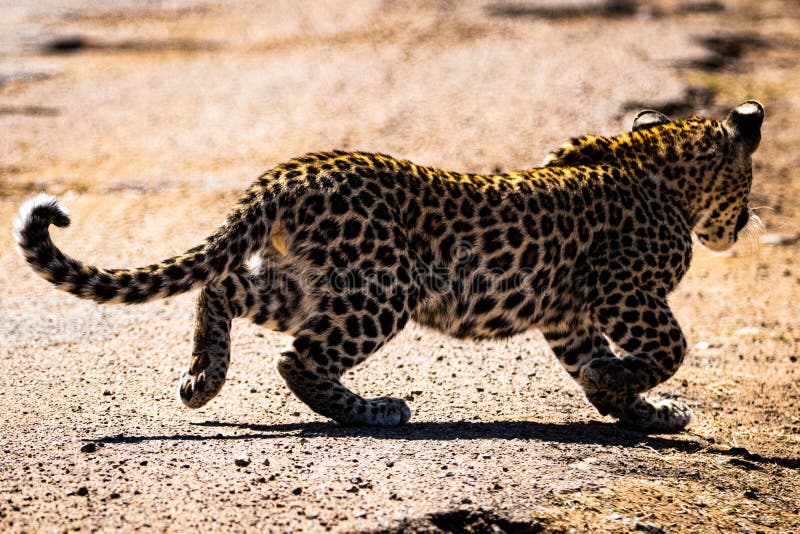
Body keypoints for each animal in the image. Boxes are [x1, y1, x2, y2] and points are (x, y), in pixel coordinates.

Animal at [13, 100, 764, 432]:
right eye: (749, 183)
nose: (746, 223)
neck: (658, 160)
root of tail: (282, 174)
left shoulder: (569, 316)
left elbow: (598, 365)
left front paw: (640, 410)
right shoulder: (624, 294)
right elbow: (669, 346)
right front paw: (628, 388)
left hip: (311, 280)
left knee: (223, 287)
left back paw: (203, 378)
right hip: (380, 287)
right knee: (298, 357)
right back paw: (374, 411)